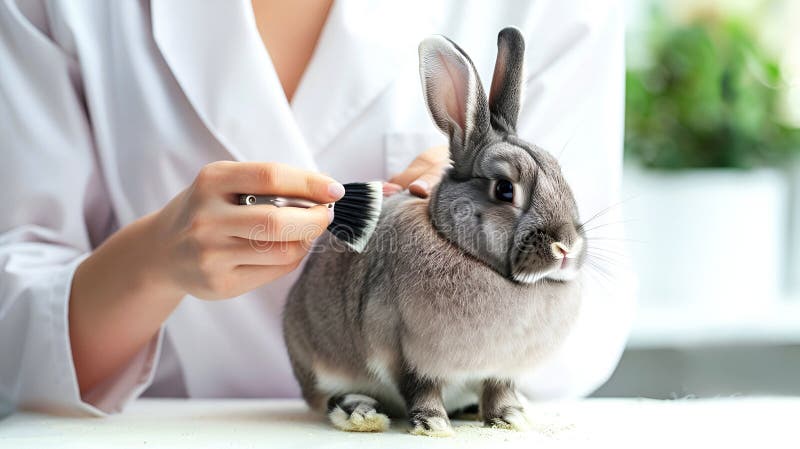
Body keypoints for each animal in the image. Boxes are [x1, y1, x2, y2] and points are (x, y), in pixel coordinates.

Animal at [283, 27, 587, 437]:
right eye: (505, 189)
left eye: (560, 174)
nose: (566, 246)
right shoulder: (404, 351)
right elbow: (421, 388)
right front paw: (433, 425)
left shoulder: (502, 370)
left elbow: (499, 390)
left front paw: (511, 418)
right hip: (320, 364)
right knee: (332, 397)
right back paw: (363, 414)